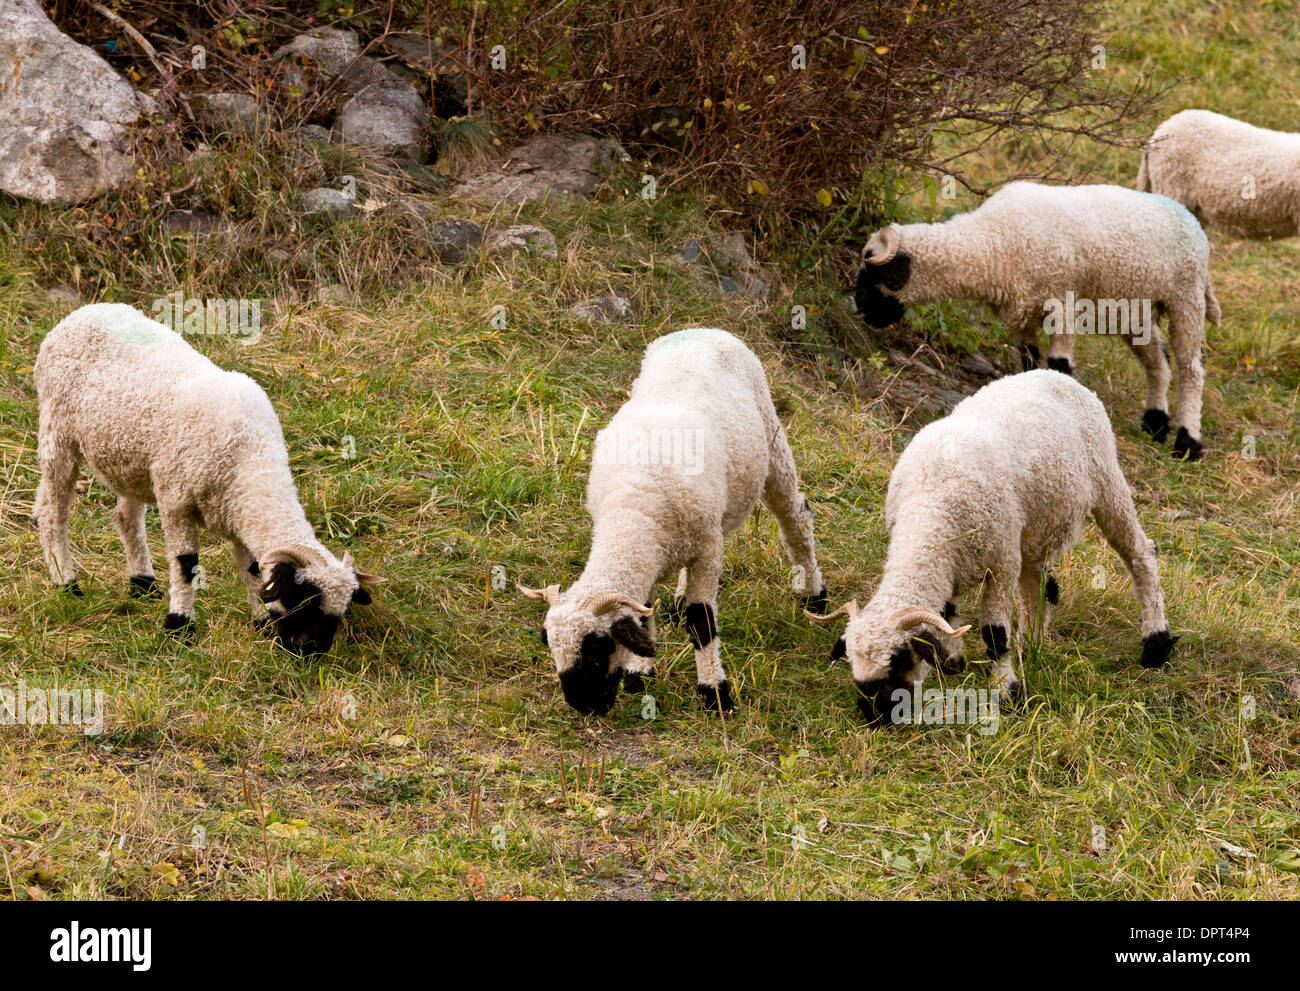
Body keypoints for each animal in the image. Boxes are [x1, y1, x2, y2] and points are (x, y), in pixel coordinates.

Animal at [32, 303, 383, 655]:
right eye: (302, 600)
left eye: (340, 611)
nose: (310, 651)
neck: (249, 456)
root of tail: (84, 312)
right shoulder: (176, 501)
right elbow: (185, 566)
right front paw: (179, 624)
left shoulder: (238, 511)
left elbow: (251, 569)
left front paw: (260, 621)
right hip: (58, 432)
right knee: (52, 512)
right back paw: (66, 582)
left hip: (131, 458)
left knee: (125, 517)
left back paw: (142, 584)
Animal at [519, 327, 827, 716]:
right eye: (550, 647)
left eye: (598, 647)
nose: (583, 706)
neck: (633, 511)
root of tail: (703, 328)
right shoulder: (654, 554)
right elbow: (644, 613)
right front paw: (640, 674)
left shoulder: (707, 552)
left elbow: (702, 624)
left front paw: (716, 694)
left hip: (773, 445)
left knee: (795, 518)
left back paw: (814, 594)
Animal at [808, 369, 1176, 724]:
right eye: (852, 663)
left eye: (899, 659)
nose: (875, 717)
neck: (930, 509)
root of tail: (1058, 375)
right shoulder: (953, 562)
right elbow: (947, 613)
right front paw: (954, 660)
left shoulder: (999, 565)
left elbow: (995, 636)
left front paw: (1007, 692)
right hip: (1030, 529)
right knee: (1040, 585)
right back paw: (1030, 645)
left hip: (1106, 484)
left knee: (1141, 555)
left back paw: (1155, 644)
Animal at [855, 180, 1220, 461]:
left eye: (876, 274)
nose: (860, 310)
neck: (992, 242)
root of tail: (1189, 218)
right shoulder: (1021, 314)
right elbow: (1029, 362)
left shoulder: (1064, 303)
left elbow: (1059, 365)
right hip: (1133, 310)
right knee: (1158, 362)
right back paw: (1155, 424)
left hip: (1186, 297)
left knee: (1191, 369)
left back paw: (1187, 444)